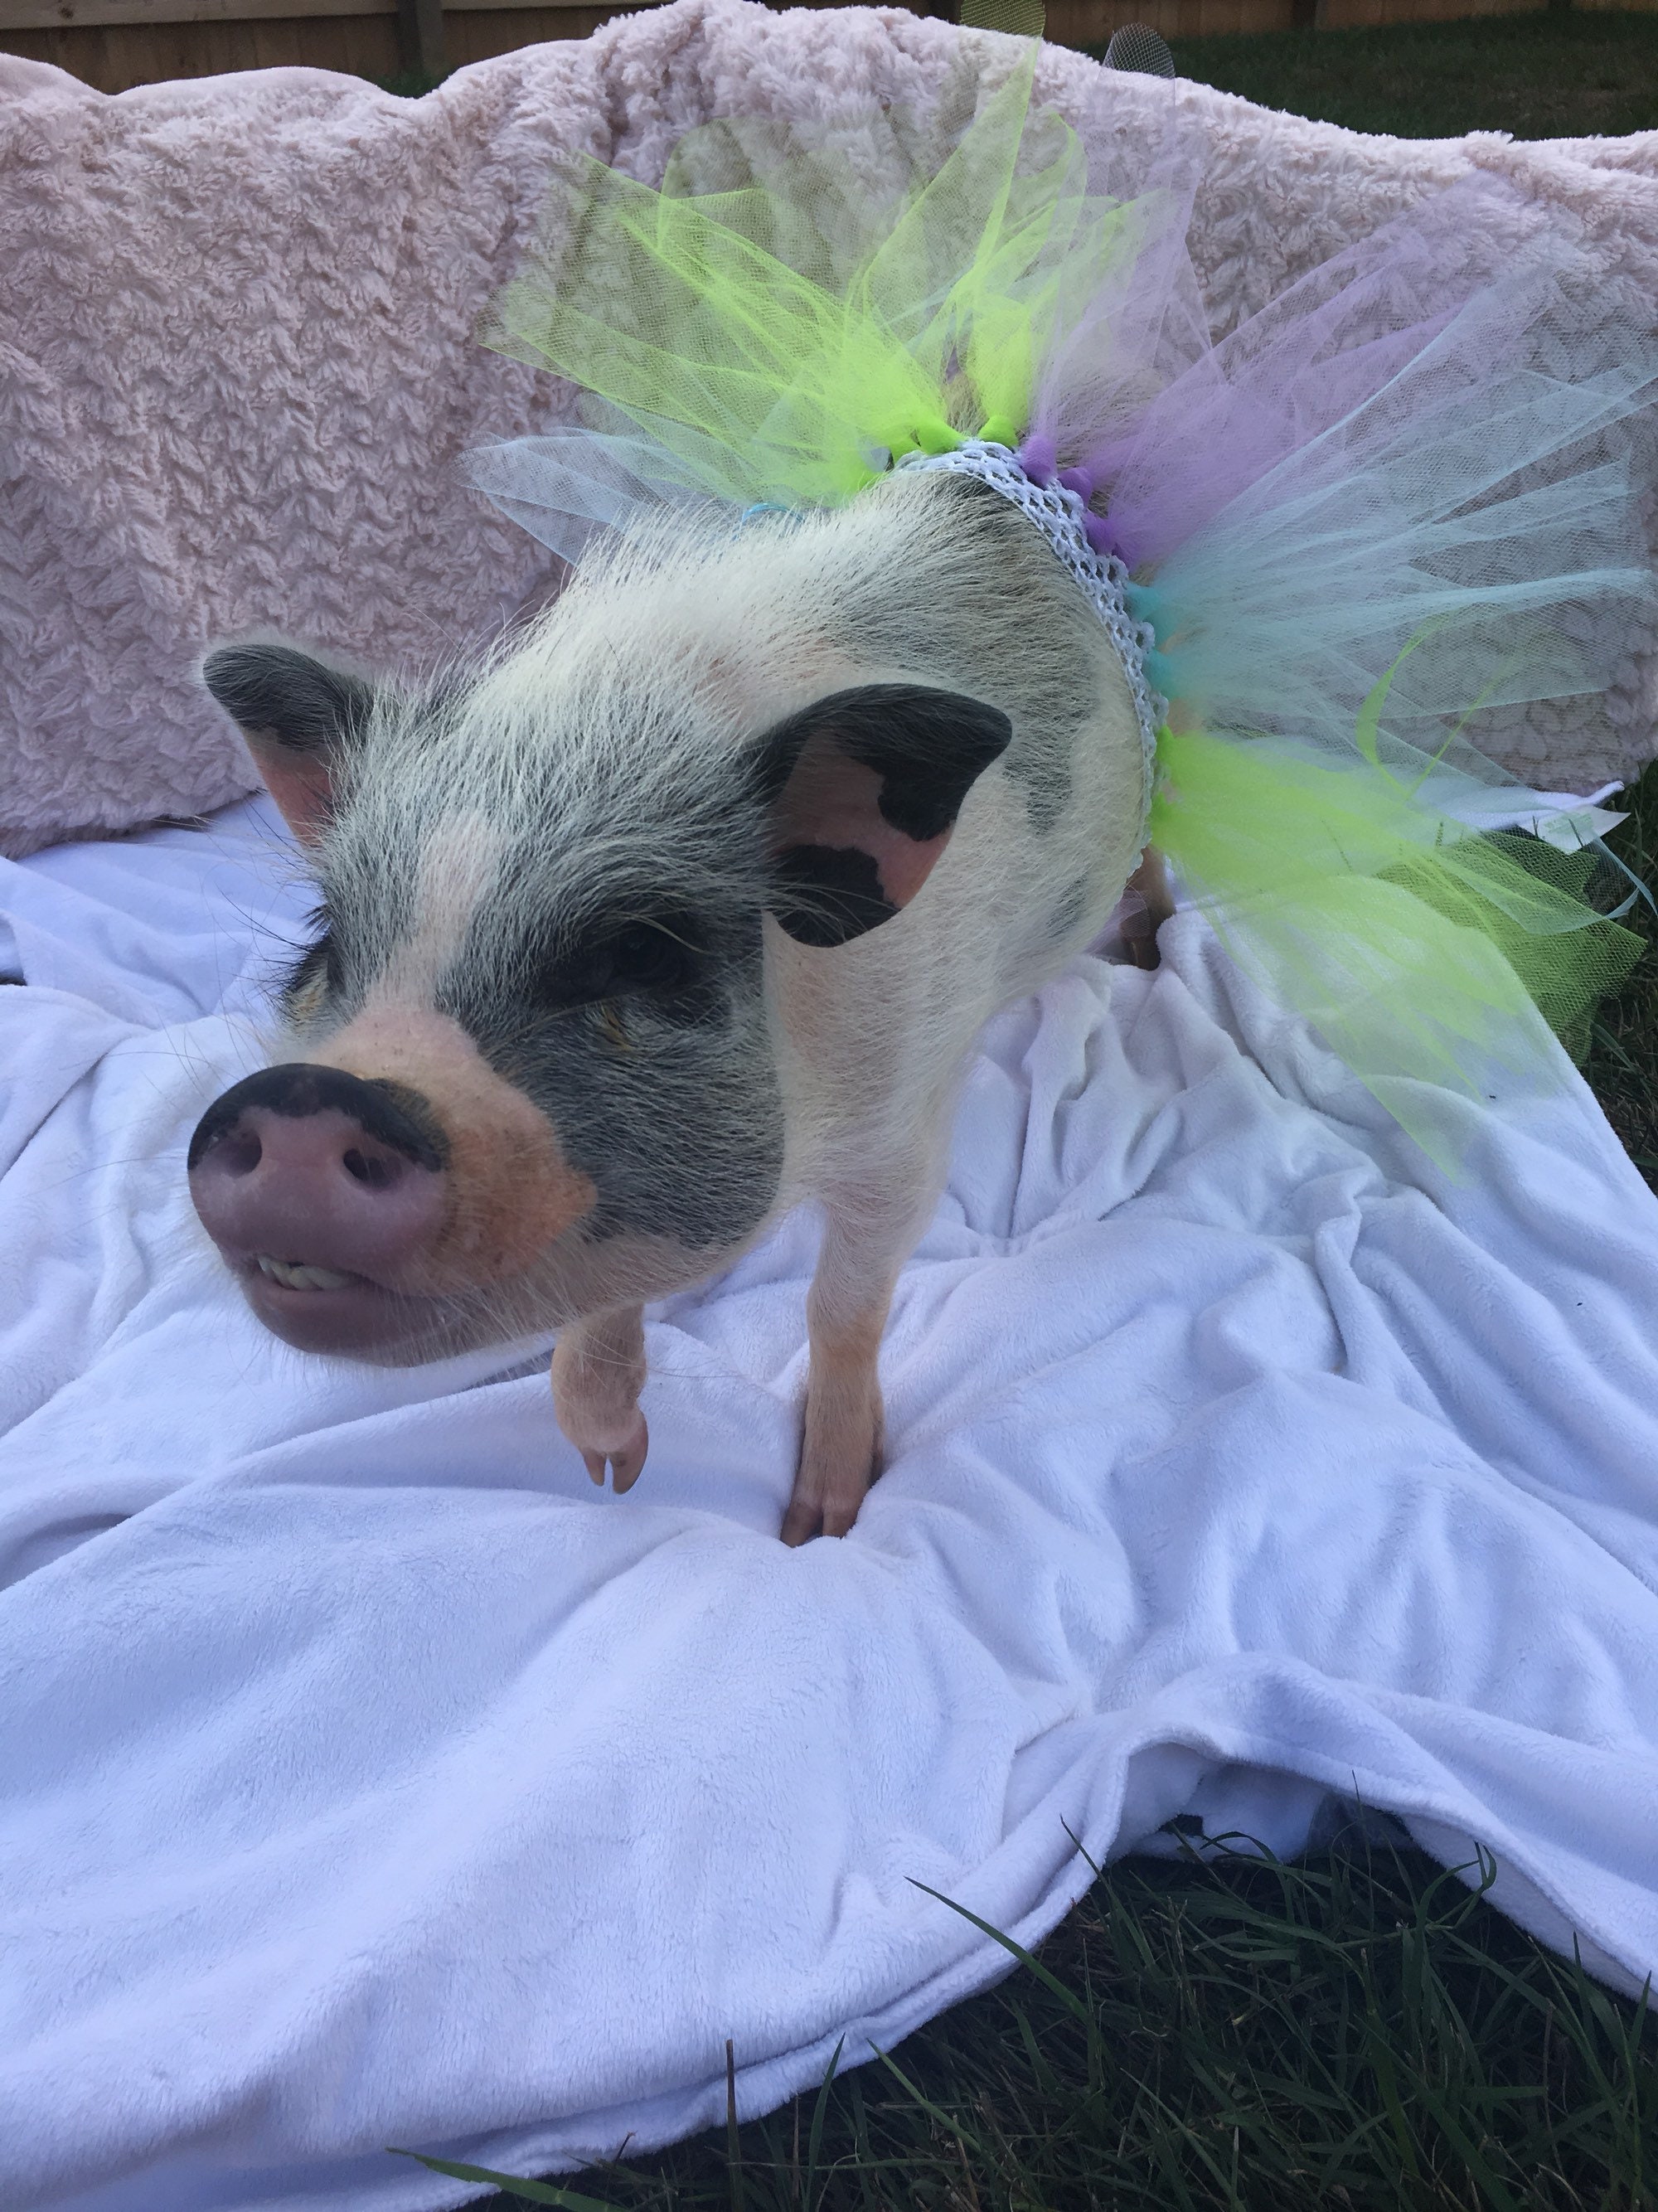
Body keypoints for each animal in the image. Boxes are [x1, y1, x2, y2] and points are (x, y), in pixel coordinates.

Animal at [190, 467, 1165, 1542]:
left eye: (642, 955)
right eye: (327, 941)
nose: (303, 1094)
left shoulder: (902, 1127)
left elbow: (844, 1306)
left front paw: (818, 1525)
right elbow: (597, 1312)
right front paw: (613, 1473)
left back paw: (1151, 952)